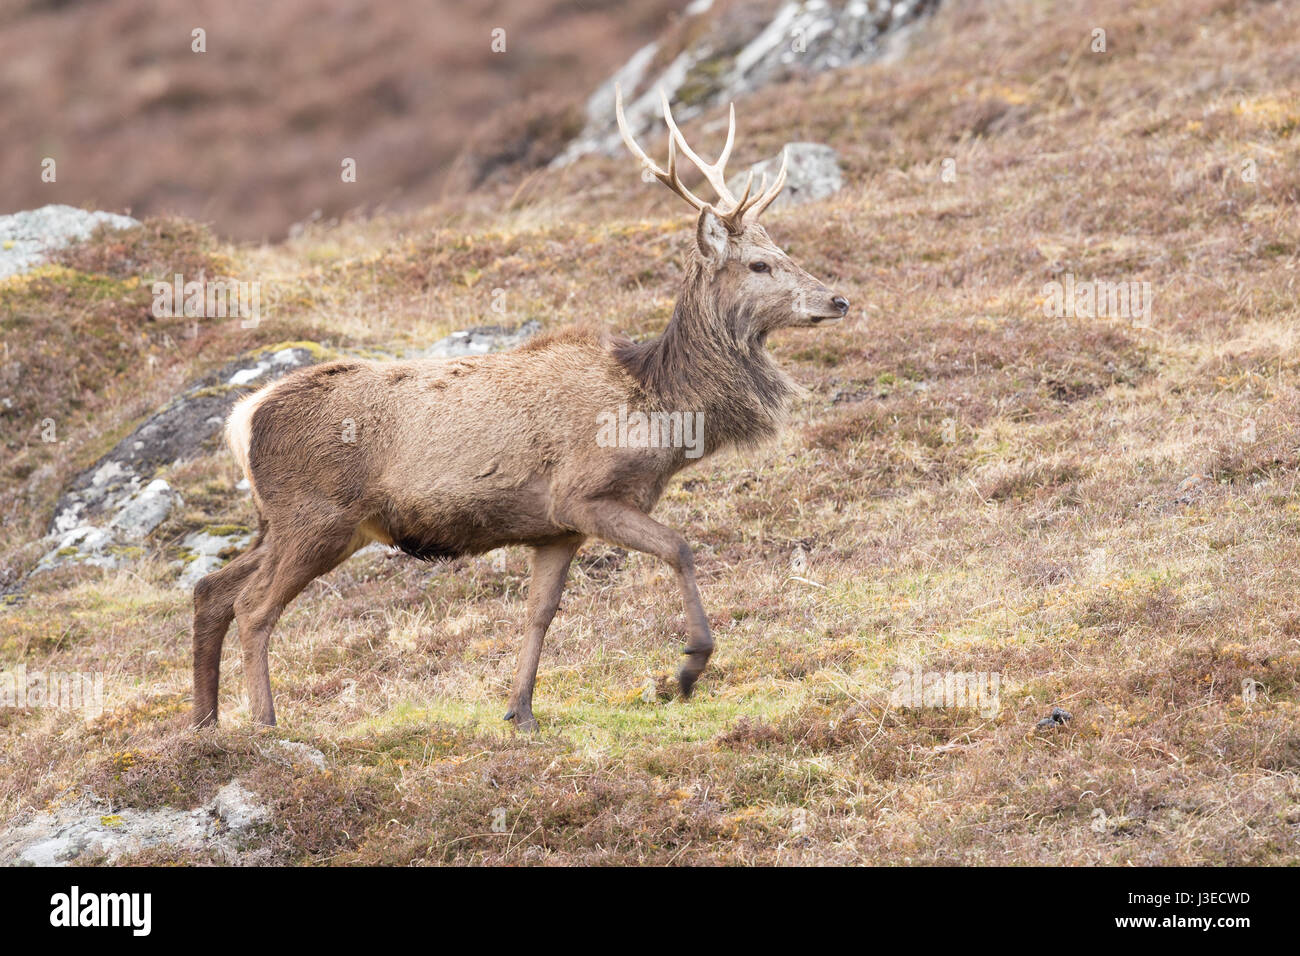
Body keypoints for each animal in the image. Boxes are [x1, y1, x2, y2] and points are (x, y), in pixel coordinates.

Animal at [191, 85, 849, 733]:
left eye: (783, 249)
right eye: (760, 264)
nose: (838, 299)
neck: (659, 408)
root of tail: (243, 416)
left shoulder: (555, 528)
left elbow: (540, 612)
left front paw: (521, 711)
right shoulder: (583, 494)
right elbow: (679, 546)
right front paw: (689, 667)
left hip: (285, 522)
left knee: (210, 588)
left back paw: (205, 726)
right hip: (315, 516)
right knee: (253, 605)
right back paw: (265, 725)